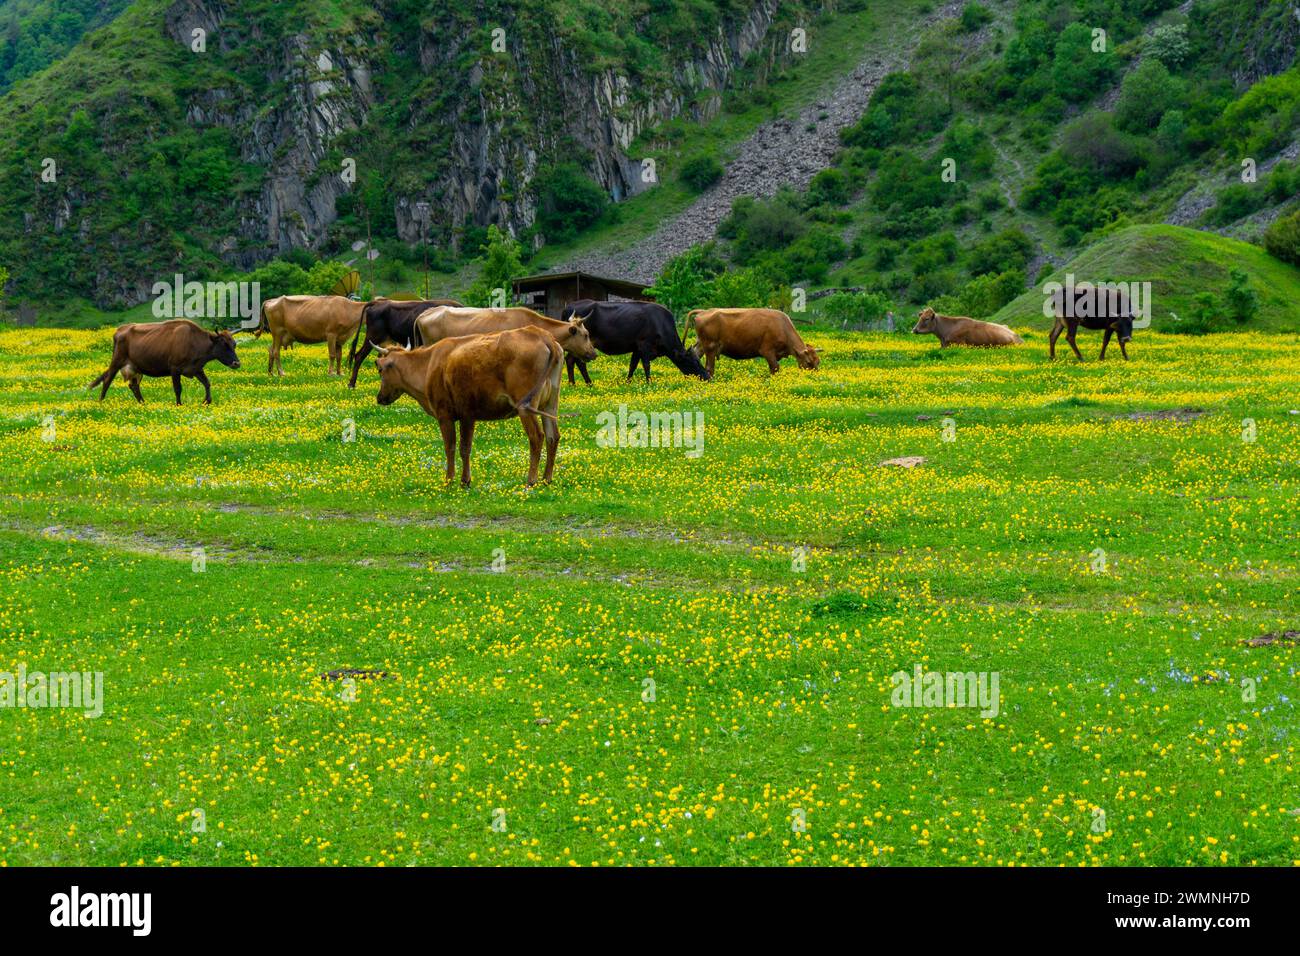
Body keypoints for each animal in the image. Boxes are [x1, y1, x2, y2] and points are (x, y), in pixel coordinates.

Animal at [89, 319, 241, 405]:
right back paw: (100, 402)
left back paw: (143, 403)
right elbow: (178, 388)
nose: (237, 363)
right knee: (107, 380)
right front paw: (179, 404)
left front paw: (206, 401)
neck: (195, 341)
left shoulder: (196, 368)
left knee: (134, 386)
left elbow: (207, 383)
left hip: (136, 368)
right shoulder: (175, 368)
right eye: (224, 344)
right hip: (116, 361)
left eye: (234, 344)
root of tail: (120, 329)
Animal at [374, 326, 563, 487]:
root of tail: (540, 334)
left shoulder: (445, 415)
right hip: (549, 405)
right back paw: (547, 479)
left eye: (380, 369)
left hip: (525, 407)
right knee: (552, 436)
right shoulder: (468, 415)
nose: (379, 398)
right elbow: (466, 448)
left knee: (537, 436)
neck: (428, 364)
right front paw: (465, 480)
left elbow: (451, 447)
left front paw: (450, 480)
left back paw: (531, 480)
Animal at [560, 299, 710, 383]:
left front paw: (628, 382)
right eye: (694, 362)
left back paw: (573, 384)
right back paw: (587, 383)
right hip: (581, 344)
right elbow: (646, 365)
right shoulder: (644, 345)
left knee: (570, 360)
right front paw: (649, 382)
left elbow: (633, 365)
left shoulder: (636, 348)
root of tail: (568, 306)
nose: (707, 377)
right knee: (577, 362)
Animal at [684, 307, 820, 376]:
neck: (782, 327)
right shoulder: (767, 351)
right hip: (710, 347)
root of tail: (704, 311)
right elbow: (775, 368)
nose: (813, 377)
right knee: (709, 367)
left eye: (818, 361)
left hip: (701, 345)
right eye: (808, 362)